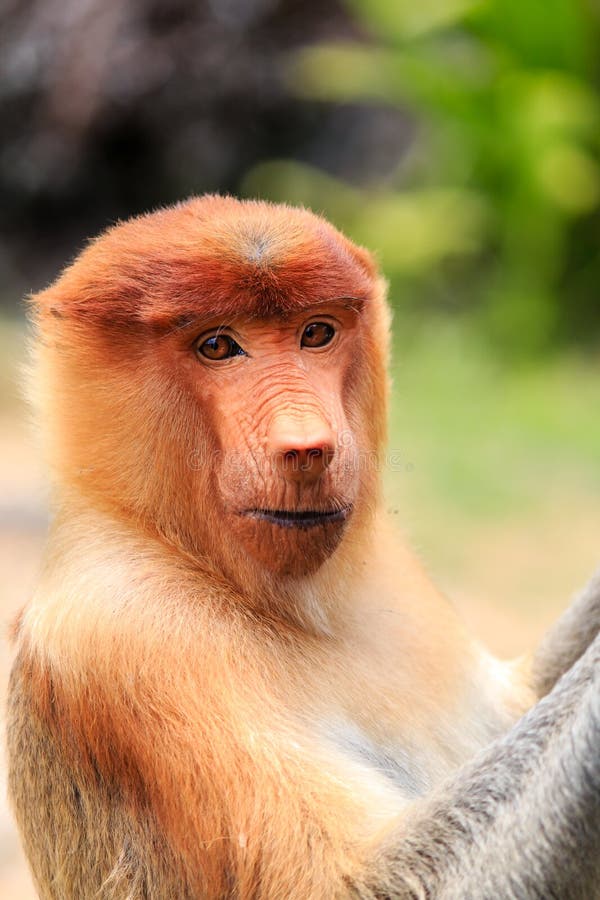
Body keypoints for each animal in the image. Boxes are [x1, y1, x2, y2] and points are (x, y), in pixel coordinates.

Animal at [6, 195, 599, 899]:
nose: (308, 447)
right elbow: (354, 881)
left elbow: (514, 702)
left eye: (316, 332)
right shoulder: (128, 632)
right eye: (217, 345)